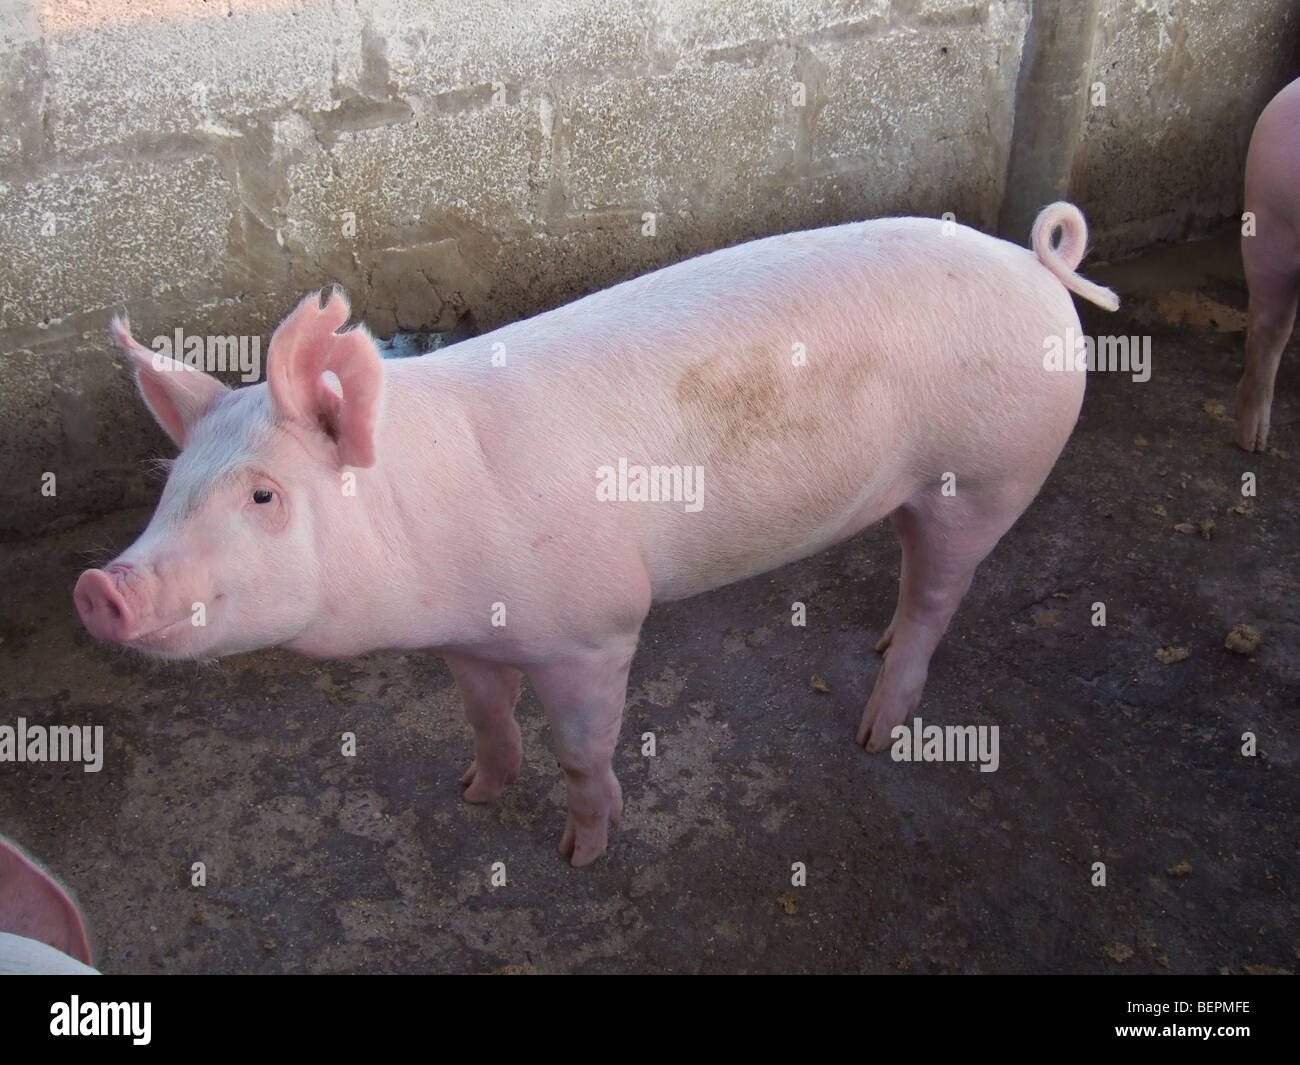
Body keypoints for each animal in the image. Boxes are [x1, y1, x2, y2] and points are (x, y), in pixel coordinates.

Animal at [75, 202, 1117, 866]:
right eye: (170, 486)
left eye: (263, 495)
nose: (100, 585)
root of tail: (1036, 264)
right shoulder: (471, 635)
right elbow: (486, 715)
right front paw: (472, 791)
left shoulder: (593, 629)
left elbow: (582, 747)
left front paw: (581, 851)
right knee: (910, 573)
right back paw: (880, 647)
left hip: (988, 474)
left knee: (942, 590)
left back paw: (875, 730)